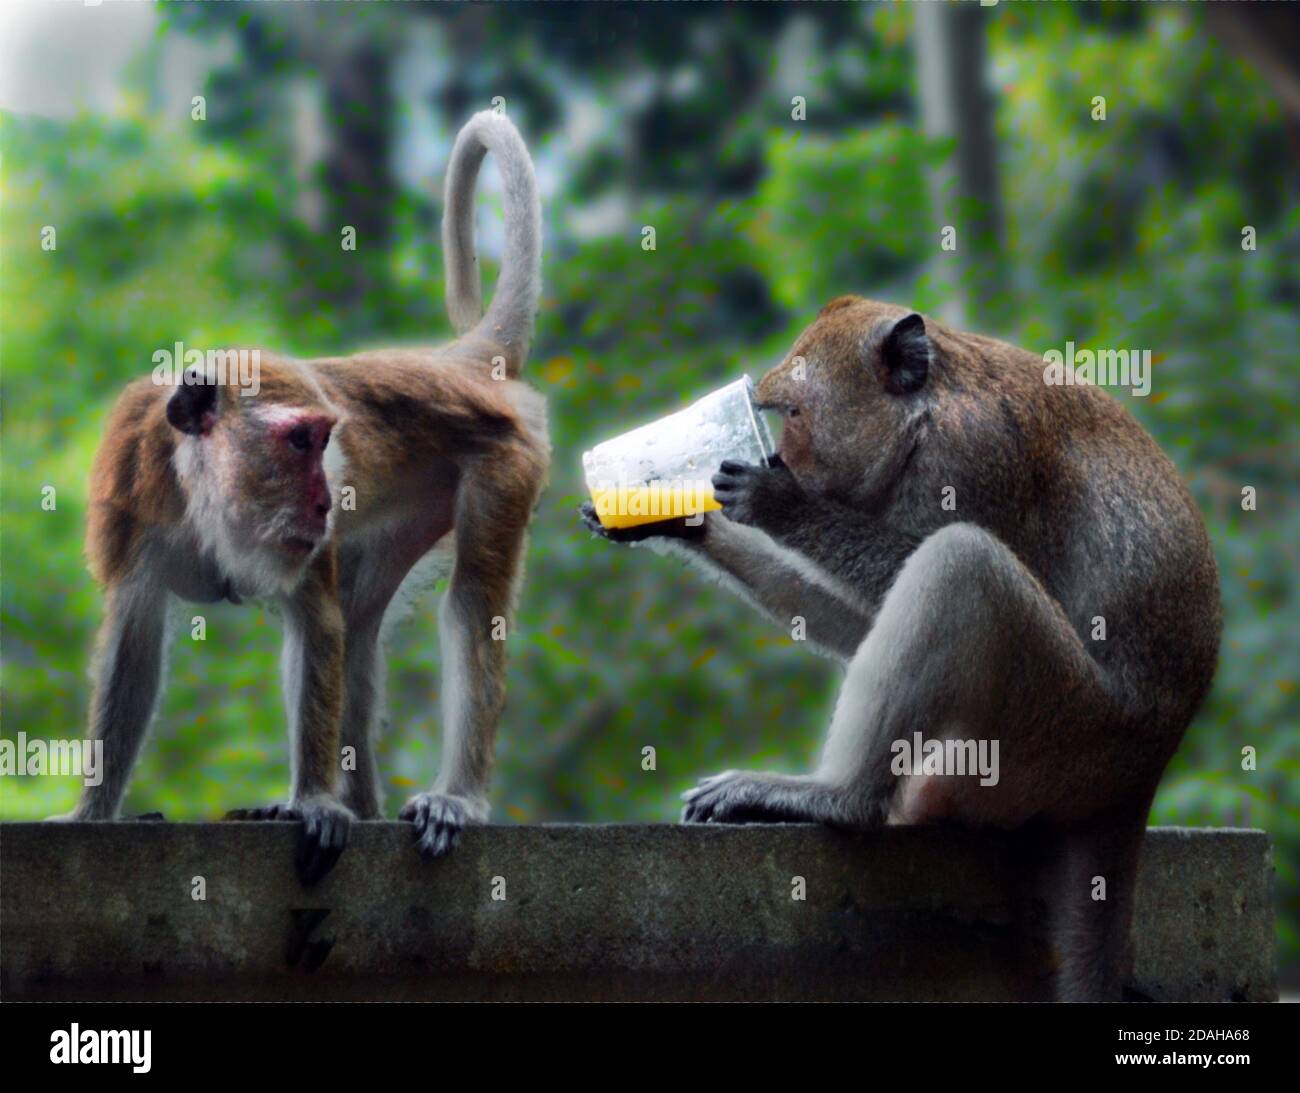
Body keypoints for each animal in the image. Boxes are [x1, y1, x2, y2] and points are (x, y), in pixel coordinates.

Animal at [51, 111, 549, 885]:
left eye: (323, 440)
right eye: (297, 442)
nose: (323, 501)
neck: (204, 495)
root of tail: (457, 366)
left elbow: (317, 624)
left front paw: (314, 801)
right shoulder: (130, 492)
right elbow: (135, 639)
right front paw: (93, 812)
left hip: (505, 459)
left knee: (468, 604)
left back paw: (453, 798)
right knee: (364, 627)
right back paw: (365, 806)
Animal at [582, 297, 1220, 1001]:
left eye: (794, 413)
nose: (781, 460)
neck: (925, 415)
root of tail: (1141, 774)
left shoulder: (975, 457)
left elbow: (922, 564)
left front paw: (779, 505)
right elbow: (862, 620)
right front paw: (680, 516)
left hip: (1055, 732)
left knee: (961, 563)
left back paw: (837, 798)